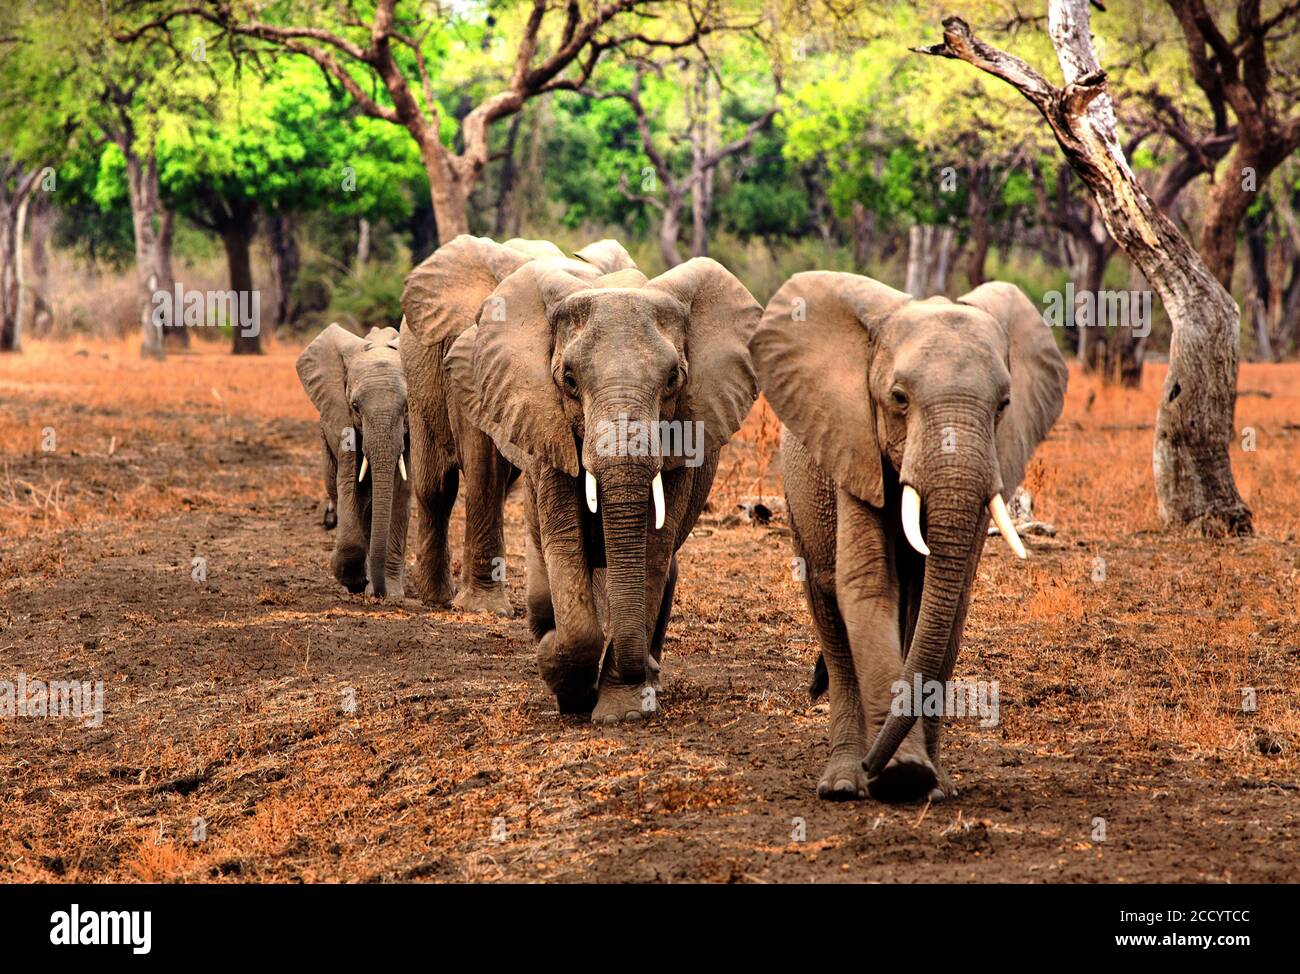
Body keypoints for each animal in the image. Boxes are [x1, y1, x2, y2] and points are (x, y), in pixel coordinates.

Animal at [296, 323, 411, 599]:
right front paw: (354, 581)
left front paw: (390, 592)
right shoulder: (342, 417)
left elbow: (400, 491)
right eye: (356, 407)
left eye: (406, 408)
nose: (378, 592)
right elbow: (350, 483)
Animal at [442, 244, 762, 723]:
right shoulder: (546, 428)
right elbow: (565, 543)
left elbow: (653, 550)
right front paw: (561, 673)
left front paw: (621, 711)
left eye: (673, 379)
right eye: (569, 380)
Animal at [749, 274, 1067, 802]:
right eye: (899, 398)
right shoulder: (852, 445)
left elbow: (946, 605)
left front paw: (927, 782)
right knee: (829, 611)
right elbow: (868, 582)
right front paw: (900, 774)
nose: (873, 764)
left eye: (1004, 405)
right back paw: (842, 782)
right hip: (797, 497)